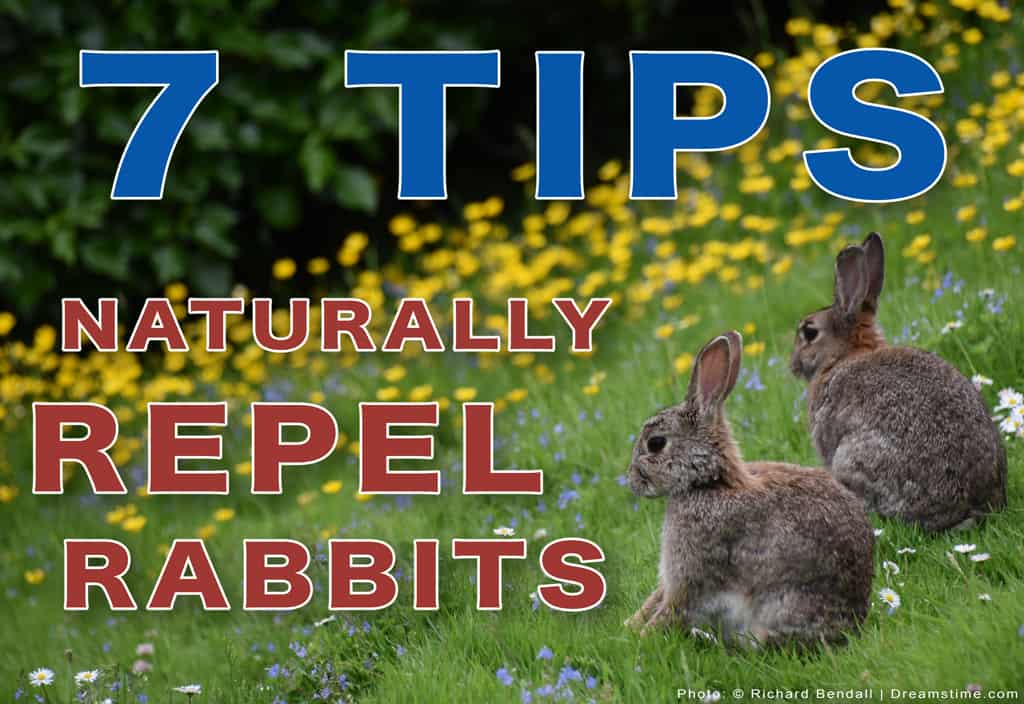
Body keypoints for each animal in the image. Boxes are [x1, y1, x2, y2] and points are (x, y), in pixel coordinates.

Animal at [626, 331, 874, 648]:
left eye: (656, 443)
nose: (633, 481)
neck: (710, 482)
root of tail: (854, 620)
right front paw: (629, 626)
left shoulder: (691, 573)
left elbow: (673, 609)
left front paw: (641, 638)